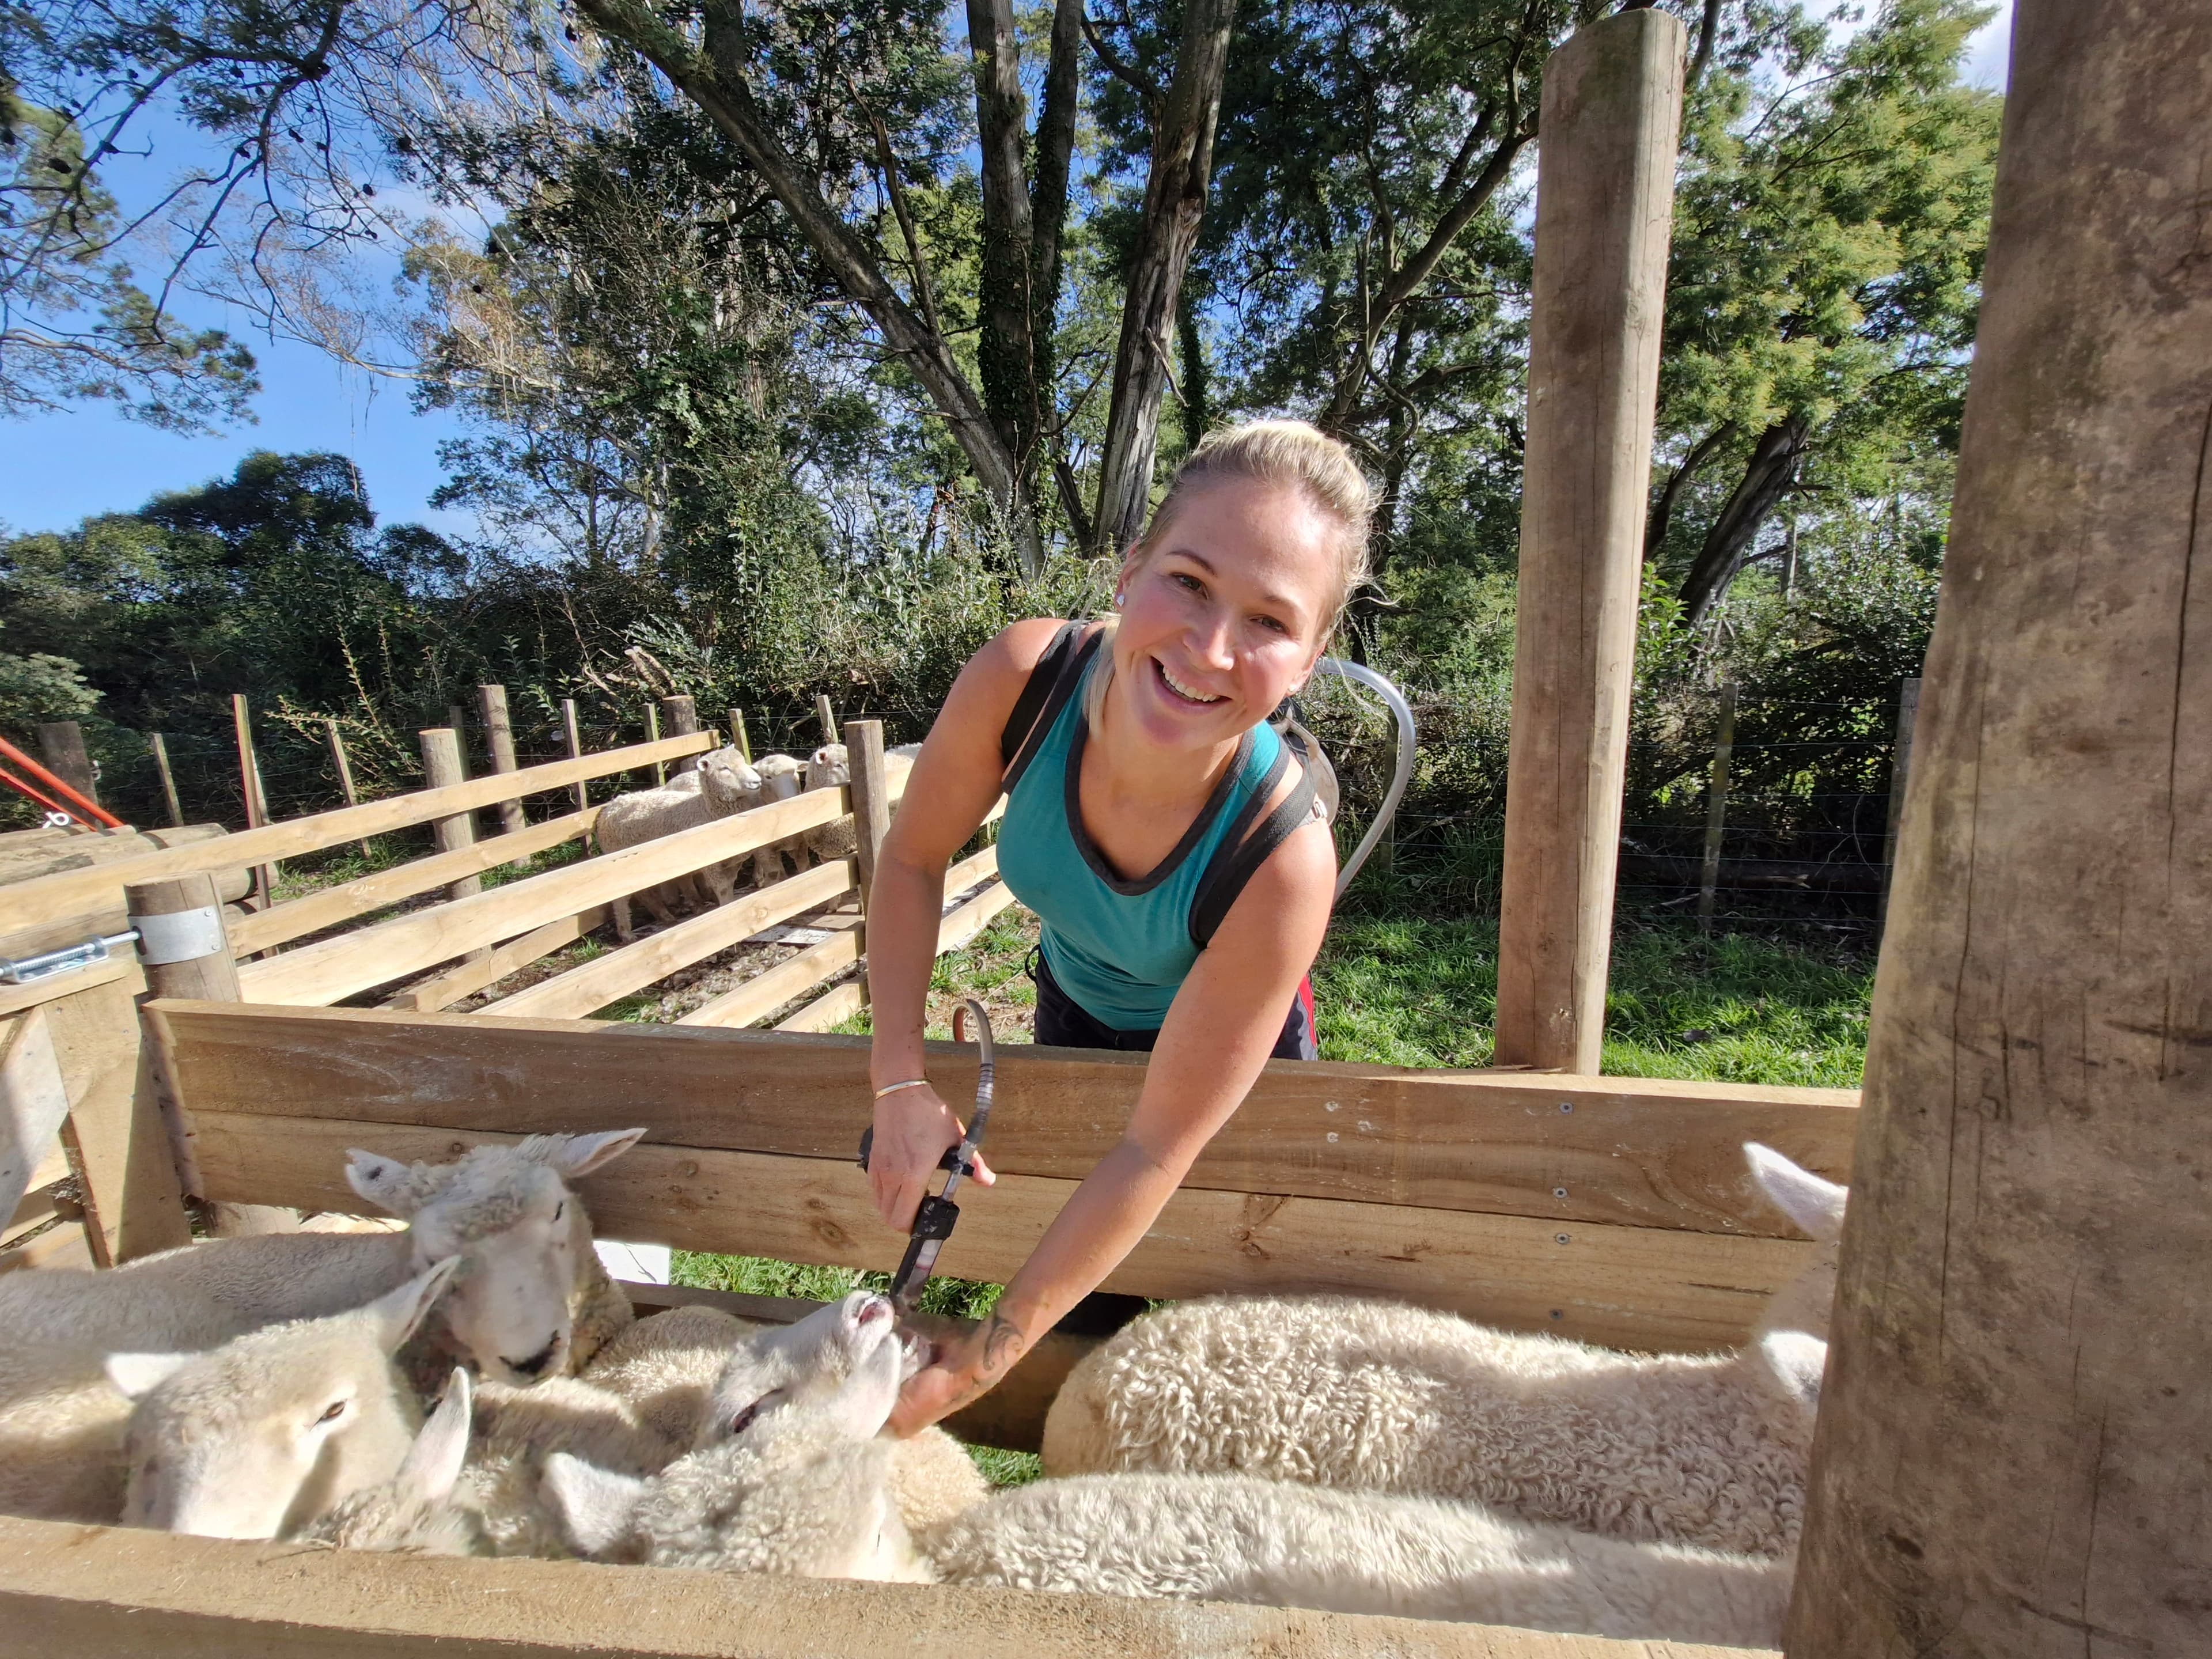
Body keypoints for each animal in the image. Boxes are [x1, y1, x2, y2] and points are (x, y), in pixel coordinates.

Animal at [594, 746, 764, 940]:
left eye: (743, 761)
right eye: (724, 769)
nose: (756, 781)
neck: (707, 811)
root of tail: (610, 807)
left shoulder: (731, 862)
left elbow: (728, 885)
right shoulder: (712, 866)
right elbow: (723, 890)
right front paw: (729, 915)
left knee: (647, 892)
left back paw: (669, 916)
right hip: (619, 868)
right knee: (620, 900)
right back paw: (626, 933)